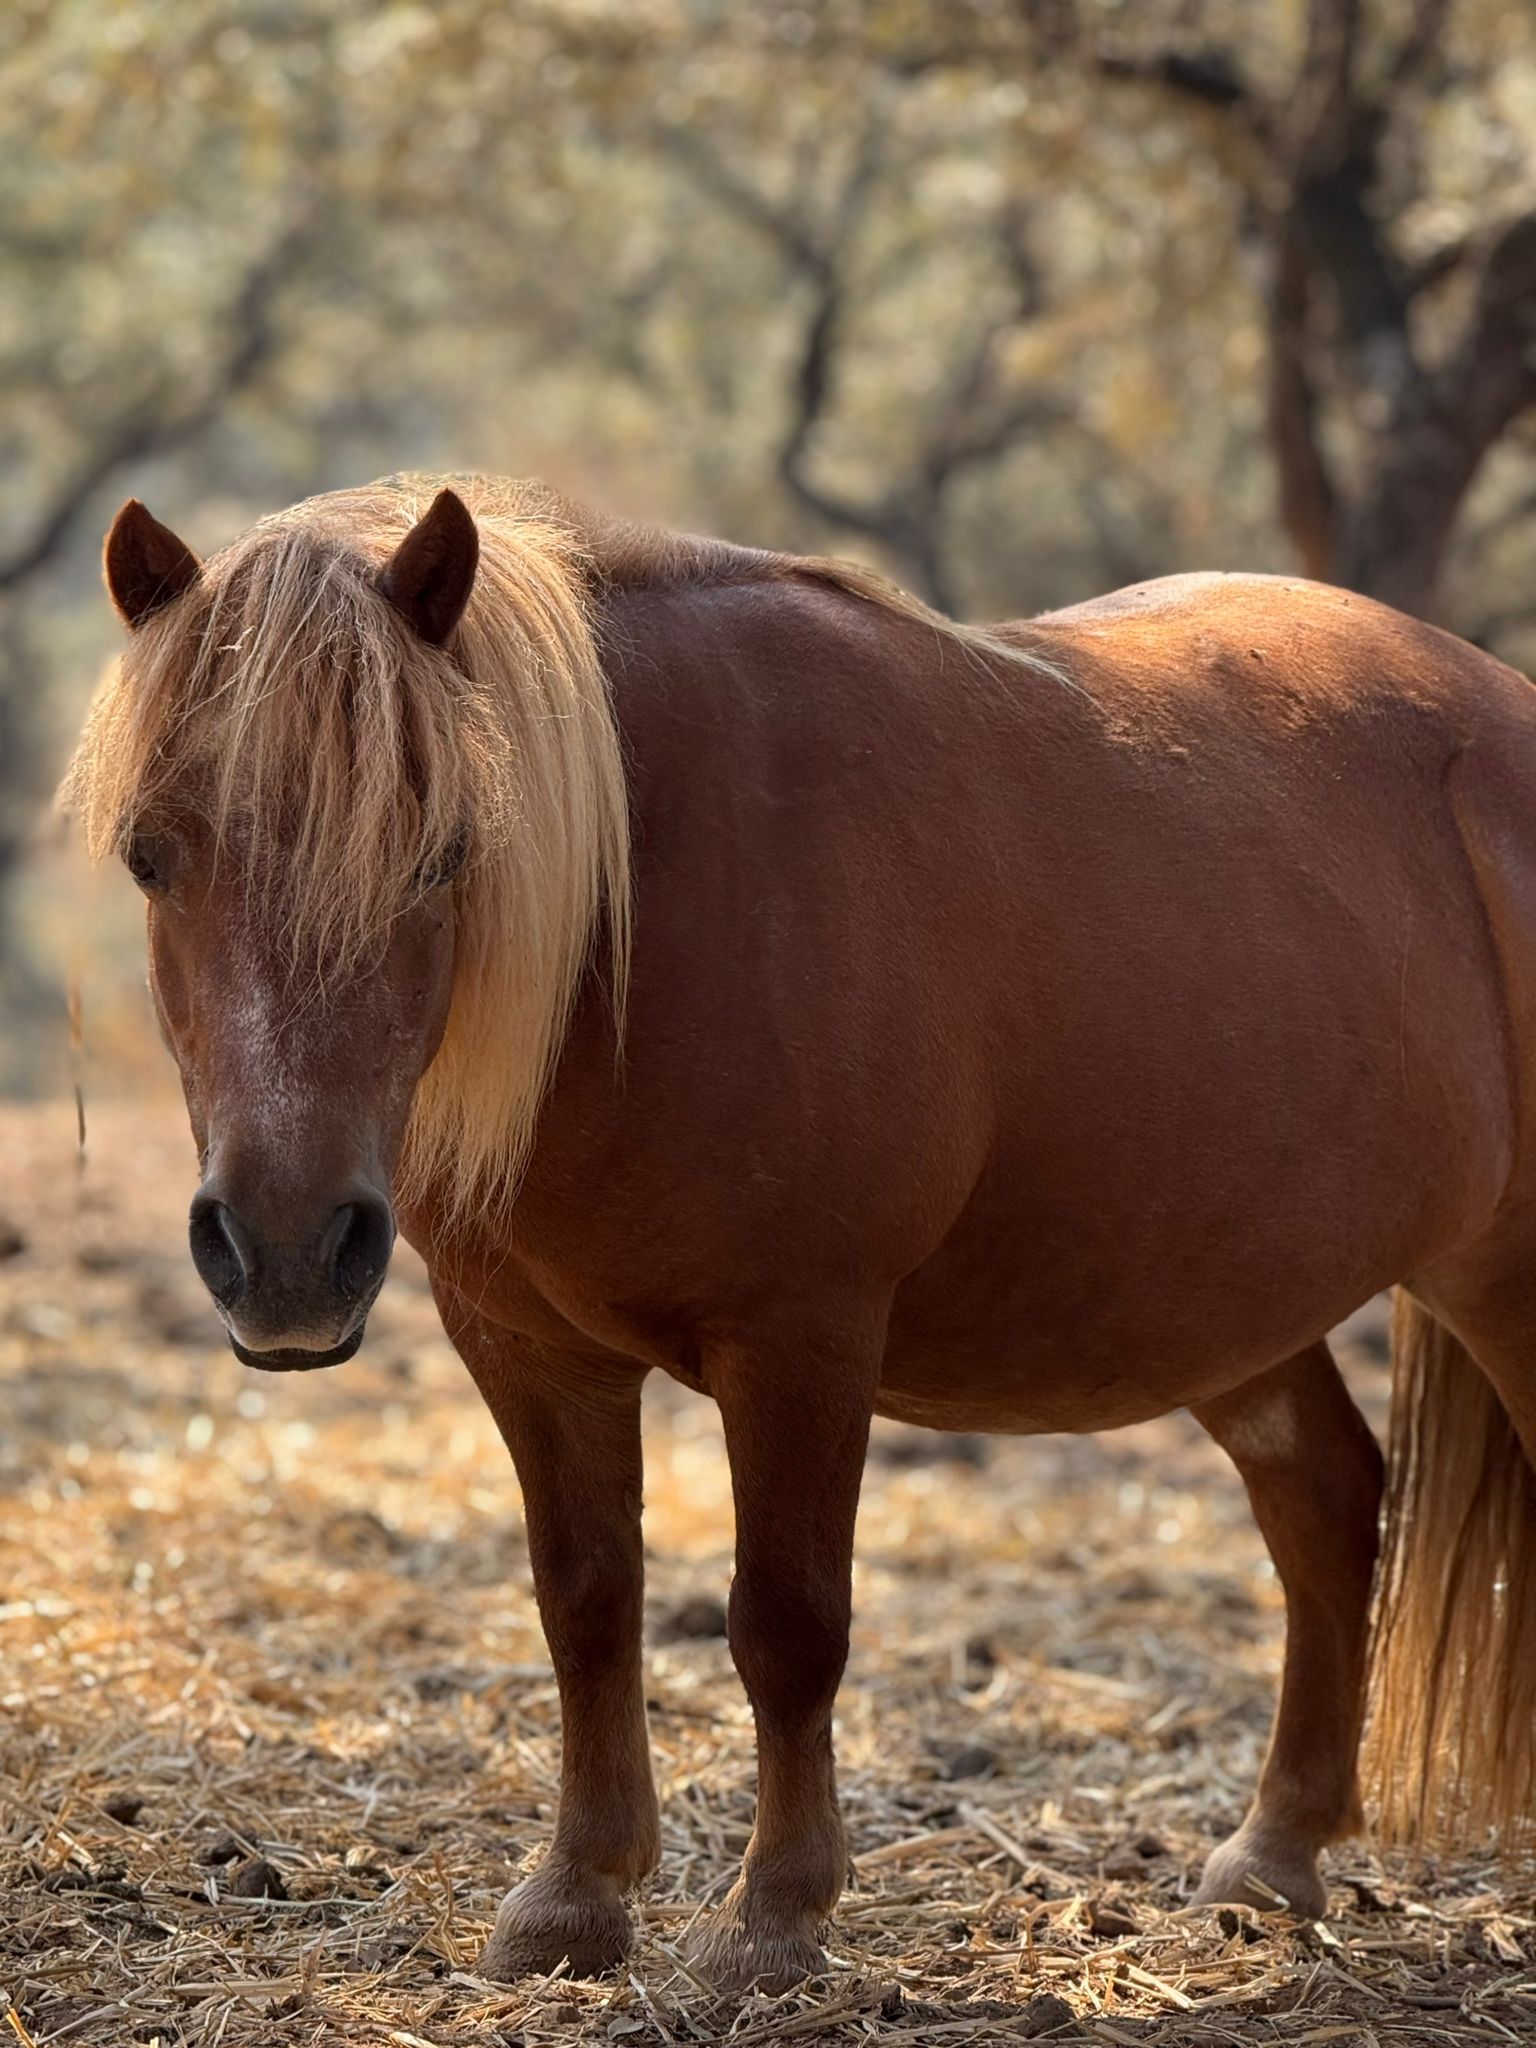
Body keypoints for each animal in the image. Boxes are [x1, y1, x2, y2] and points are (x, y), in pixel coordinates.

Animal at [64, 474, 1536, 1993]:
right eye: (151, 856)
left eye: (442, 855)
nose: (286, 1252)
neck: (640, 914)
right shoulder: (525, 1347)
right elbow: (585, 1599)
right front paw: (575, 1896)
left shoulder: (803, 1338)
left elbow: (785, 1622)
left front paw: (771, 1915)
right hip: (1225, 1310)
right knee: (1327, 1500)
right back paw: (1277, 1852)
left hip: (1497, 1279)